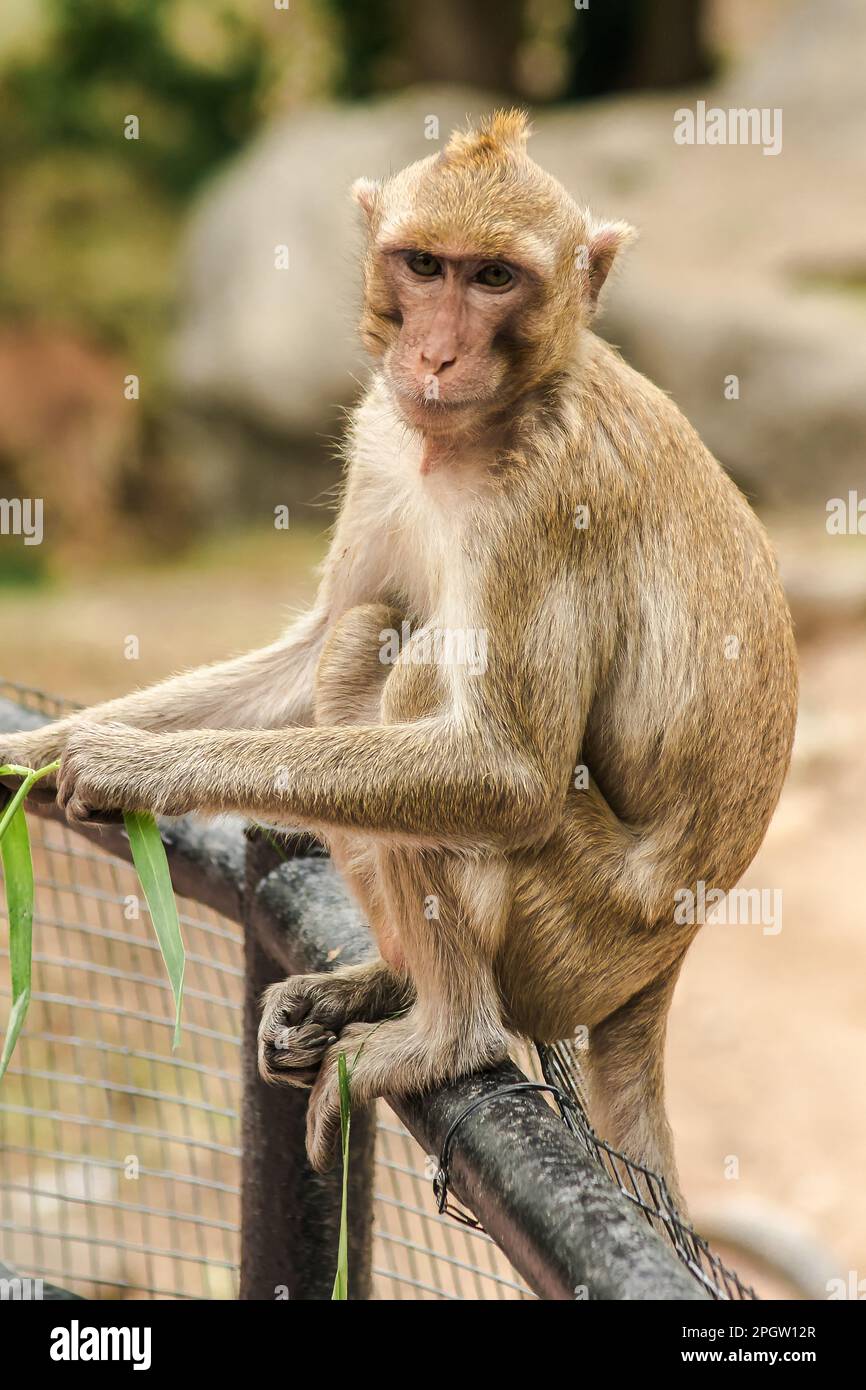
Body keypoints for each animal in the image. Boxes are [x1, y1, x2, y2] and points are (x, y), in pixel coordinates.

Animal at [0, 111, 797, 1210]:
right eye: (424, 265)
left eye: (494, 278)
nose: (435, 351)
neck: (466, 439)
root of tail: (671, 950)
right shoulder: (383, 438)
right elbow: (310, 650)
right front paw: (37, 752)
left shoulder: (547, 501)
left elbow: (506, 774)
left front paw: (133, 768)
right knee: (355, 644)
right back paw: (384, 985)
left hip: (573, 934)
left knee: (418, 680)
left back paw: (446, 1035)